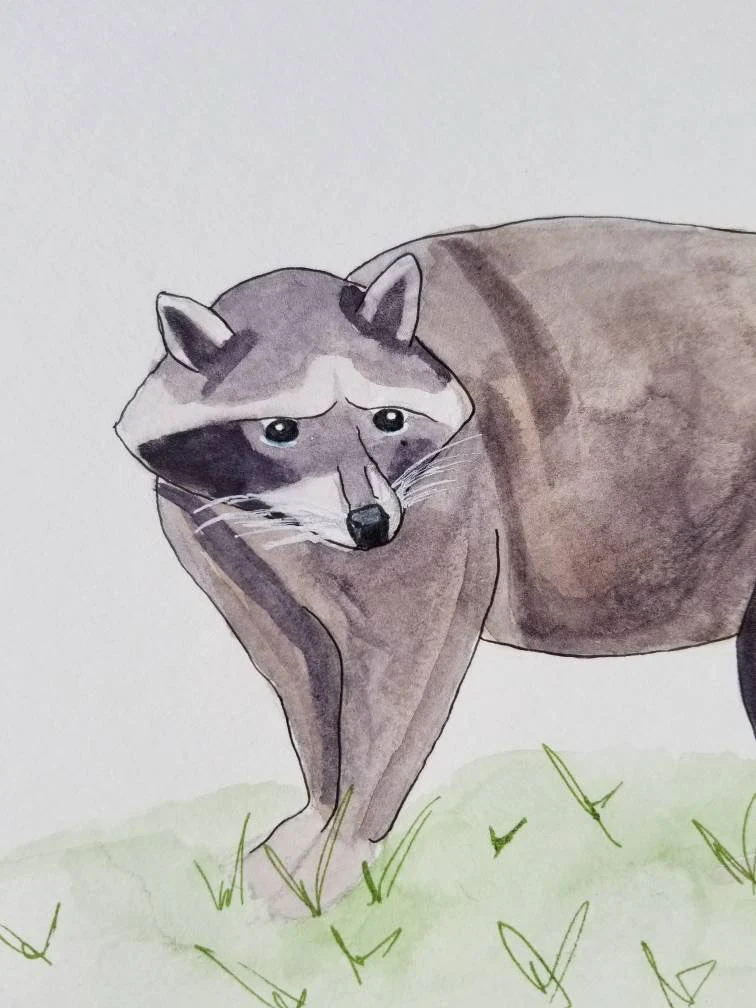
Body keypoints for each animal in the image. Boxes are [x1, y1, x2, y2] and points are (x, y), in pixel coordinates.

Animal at [116, 216, 756, 912]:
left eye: (388, 419)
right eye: (280, 430)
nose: (370, 524)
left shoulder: (447, 491)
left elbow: (399, 677)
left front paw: (341, 845)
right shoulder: (212, 528)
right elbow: (300, 667)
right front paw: (316, 812)